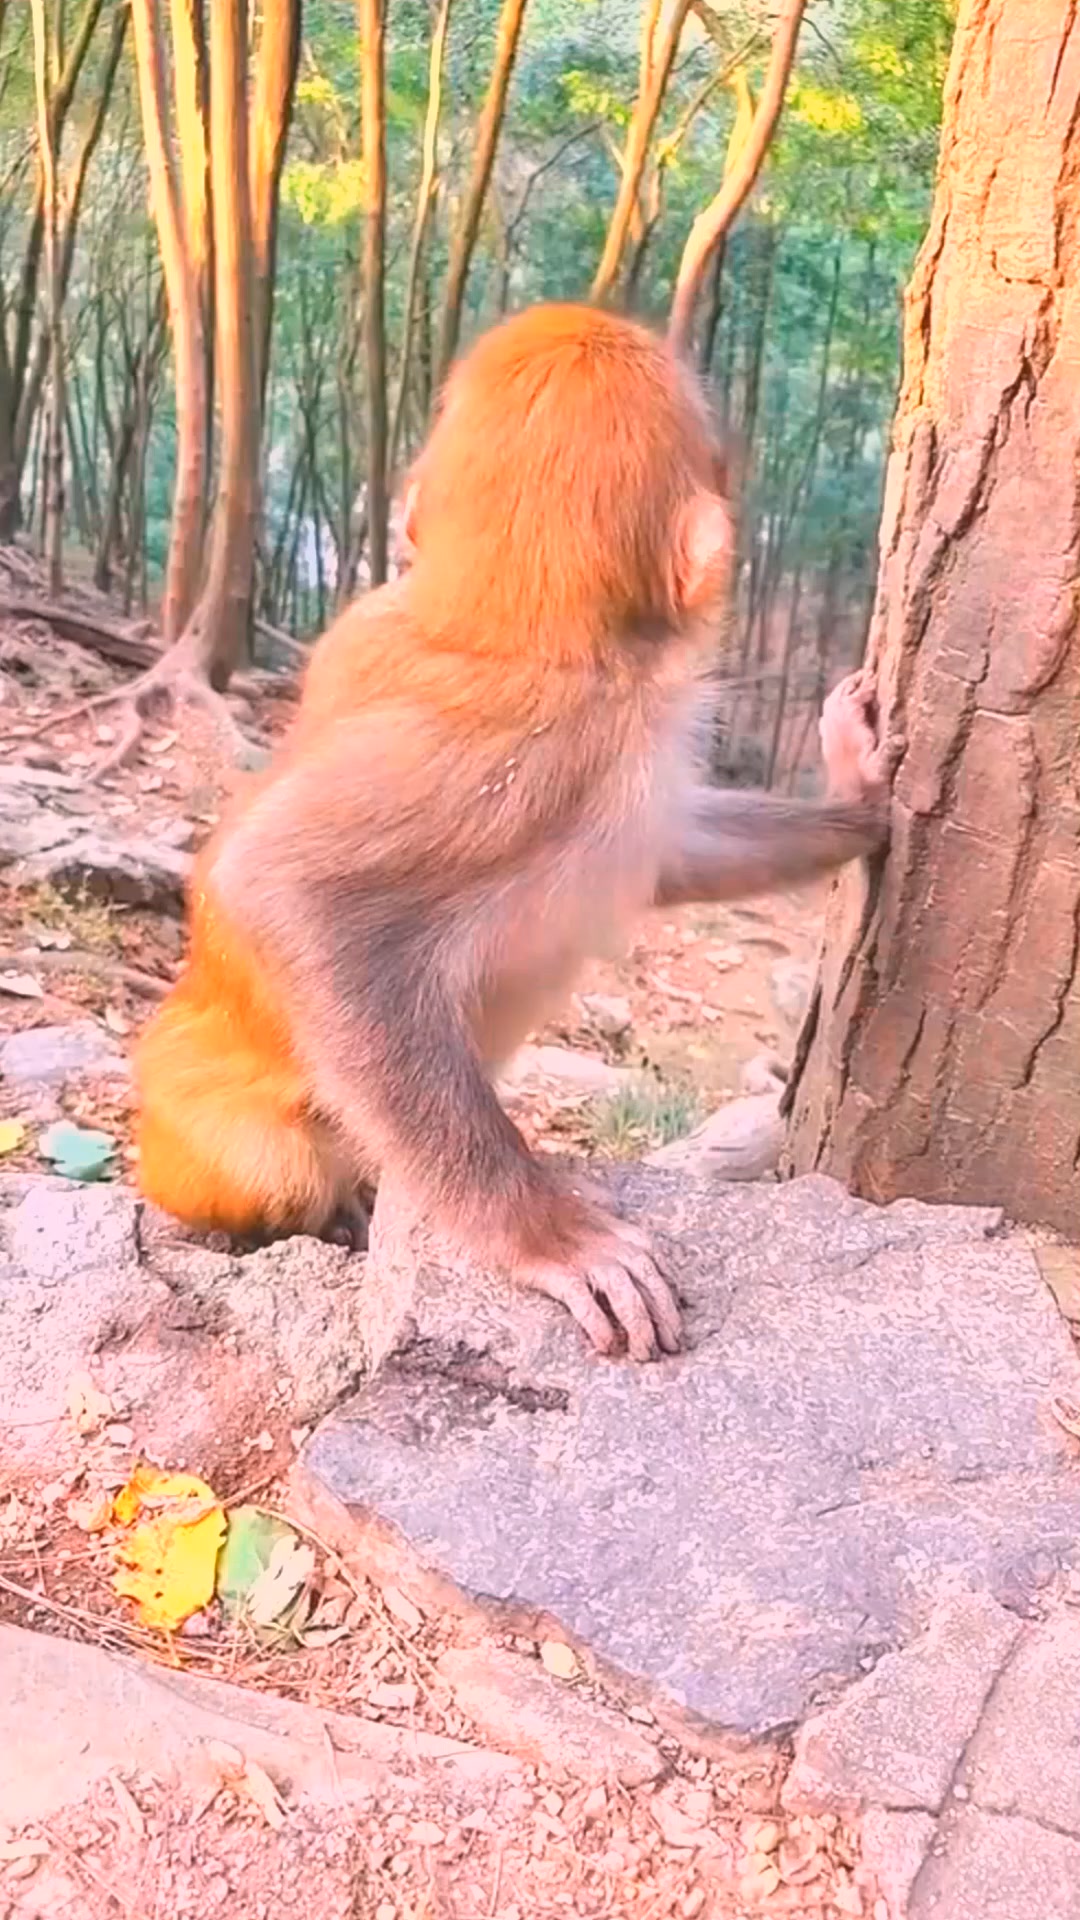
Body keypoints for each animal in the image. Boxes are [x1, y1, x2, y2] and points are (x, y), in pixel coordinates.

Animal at [134, 303, 887, 1363]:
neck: (498, 623)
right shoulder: (547, 740)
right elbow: (277, 888)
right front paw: (543, 1236)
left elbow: (671, 854)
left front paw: (859, 796)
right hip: (194, 1128)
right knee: (271, 1165)